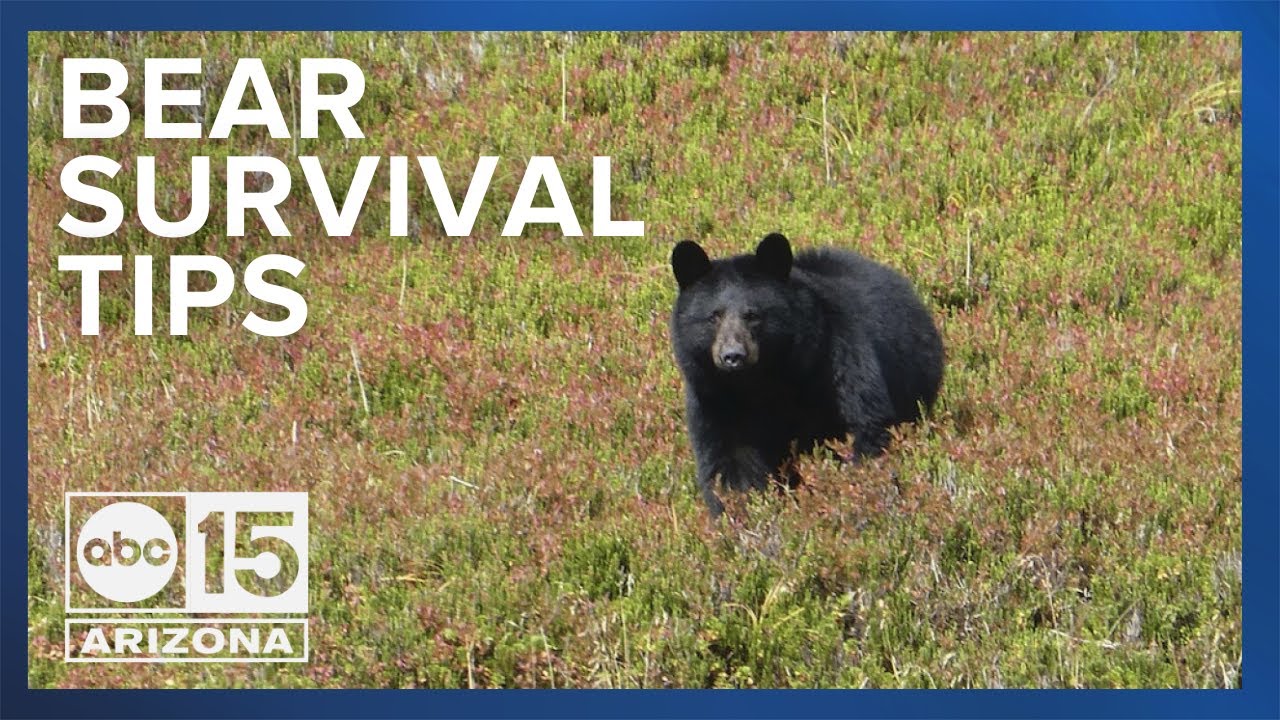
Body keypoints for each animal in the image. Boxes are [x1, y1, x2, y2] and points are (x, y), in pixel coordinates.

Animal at [669, 232, 944, 516]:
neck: (762, 384)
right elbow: (731, 460)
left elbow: (864, 425)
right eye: (714, 316)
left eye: (753, 315)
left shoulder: (837, 360)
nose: (733, 356)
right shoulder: (714, 400)